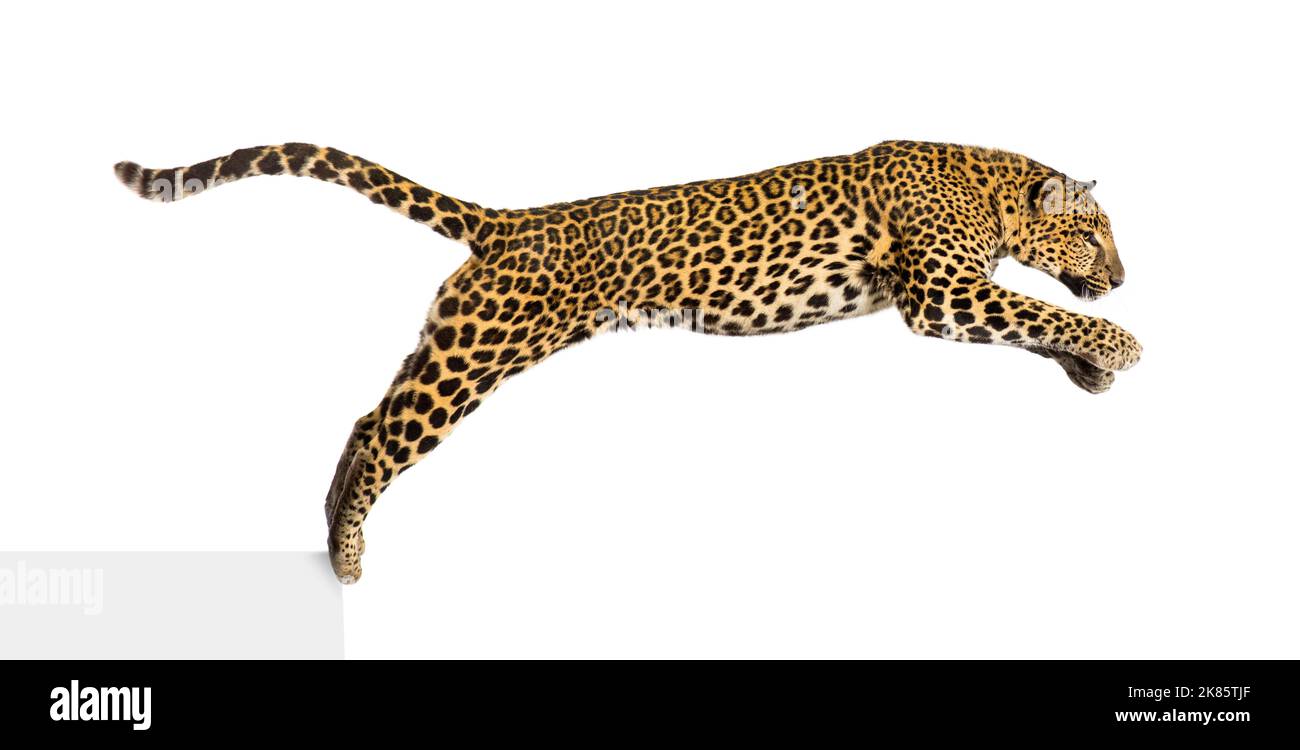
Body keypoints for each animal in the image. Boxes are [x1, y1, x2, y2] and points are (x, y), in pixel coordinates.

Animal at [114, 140, 1141, 583]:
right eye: (1095, 234)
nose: (1123, 276)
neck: (991, 185)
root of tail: (509, 221)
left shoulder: (959, 295)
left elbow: (1036, 320)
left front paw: (1090, 369)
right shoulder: (943, 292)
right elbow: (1040, 310)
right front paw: (1122, 347)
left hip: (450, 340)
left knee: (366, 417)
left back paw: (334, 538)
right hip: (473, 356)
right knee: (380, 434)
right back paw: (346, 553)